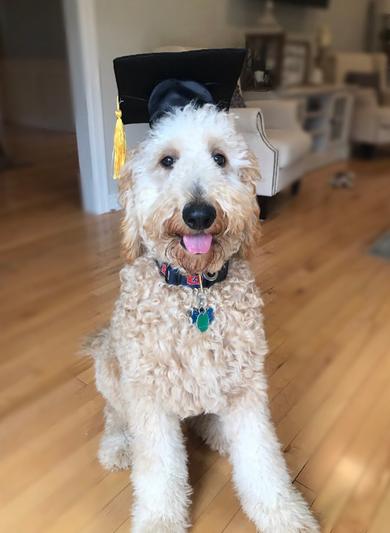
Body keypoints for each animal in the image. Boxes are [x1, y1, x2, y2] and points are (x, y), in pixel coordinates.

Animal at [89, 104, 320, 532]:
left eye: (220, 158)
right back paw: (119, 445)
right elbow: (159, 472)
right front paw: (159, 522)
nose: (199, 213)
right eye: (167, 160)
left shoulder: (247, 389)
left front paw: (283, 514)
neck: (195, 289)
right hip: (112, 368)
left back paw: (217, 430)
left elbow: (262, 459)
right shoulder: (149, 399)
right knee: (114, 413)